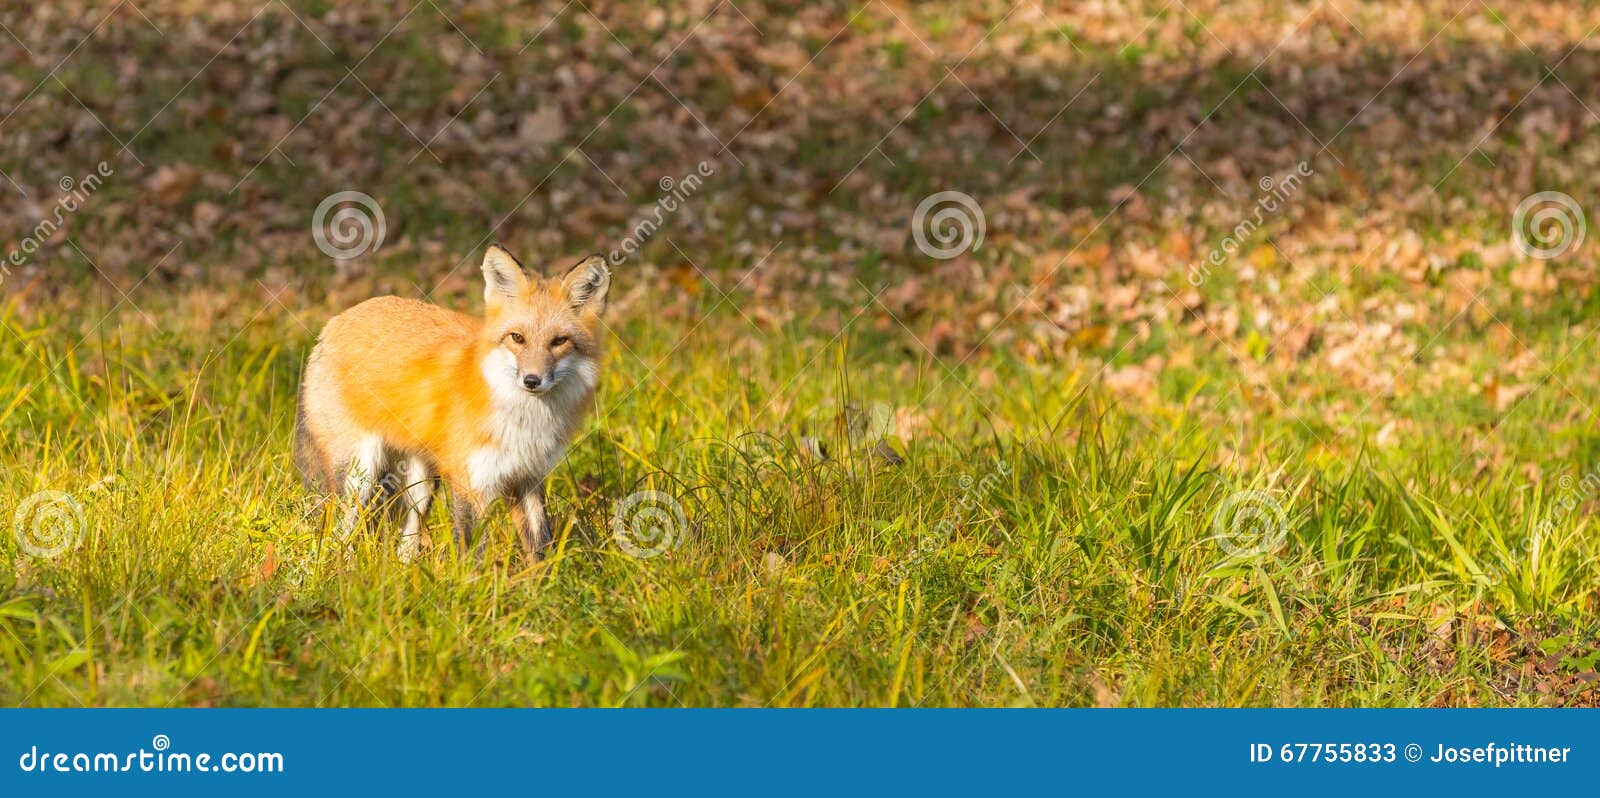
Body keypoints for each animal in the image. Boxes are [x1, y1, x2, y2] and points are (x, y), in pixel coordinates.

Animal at [294, 244, 610, 562]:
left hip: (422, 480)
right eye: (517, 338)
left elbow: (540, 548)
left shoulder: (527, 478)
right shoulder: (470, 481)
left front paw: (539, 575)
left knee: (407, 536)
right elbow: (472, 553)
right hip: (359, 474)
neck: (522, 419)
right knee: (339, 531)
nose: (532, 380)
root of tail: (336, 320)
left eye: (559, 341)